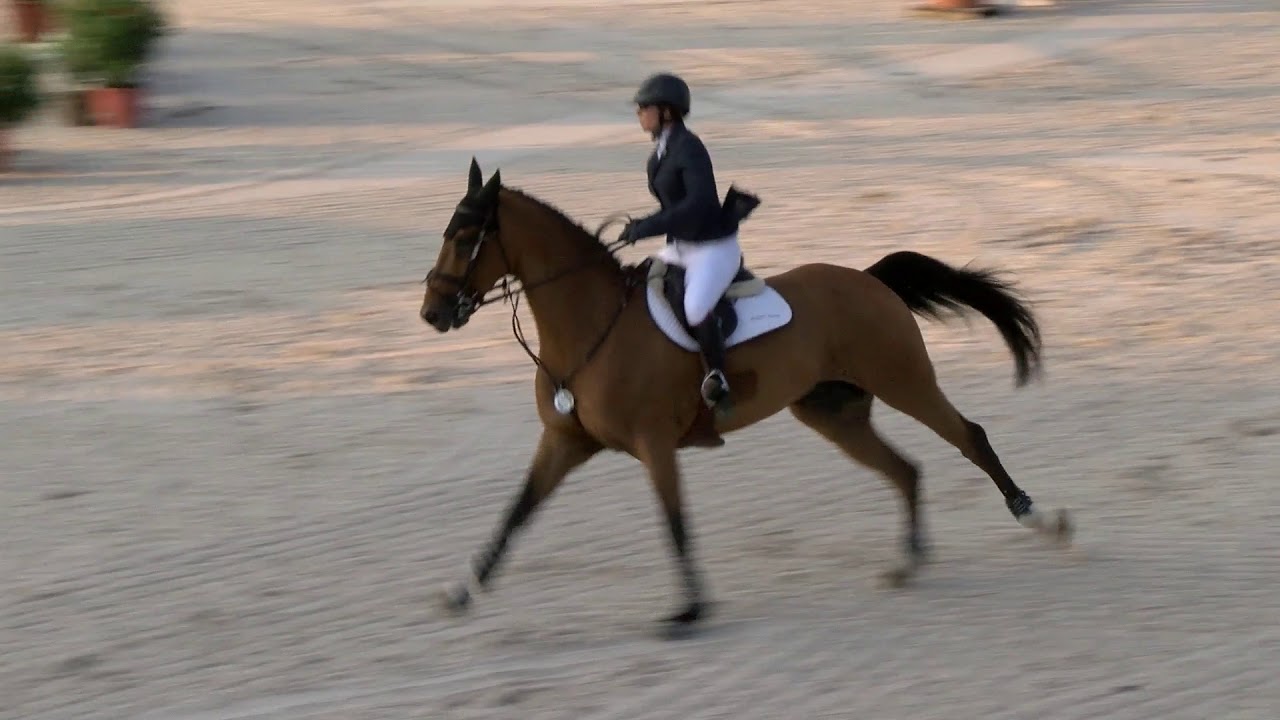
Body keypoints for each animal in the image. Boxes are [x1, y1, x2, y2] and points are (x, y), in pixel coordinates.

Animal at [420, 158, 1072, 633]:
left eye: (468, 236)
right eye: (447, 231)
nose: (433, 313)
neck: (589, 328)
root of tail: (868, 279)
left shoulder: (654, 444)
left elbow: (675, 522)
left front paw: (690, 610)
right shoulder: (564, 440)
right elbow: (516, 512)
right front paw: (461, 590)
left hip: (903, 380)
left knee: (969, 437)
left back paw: (1040, 518)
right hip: (835, 414)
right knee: (905, 471)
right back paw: (907, 563)